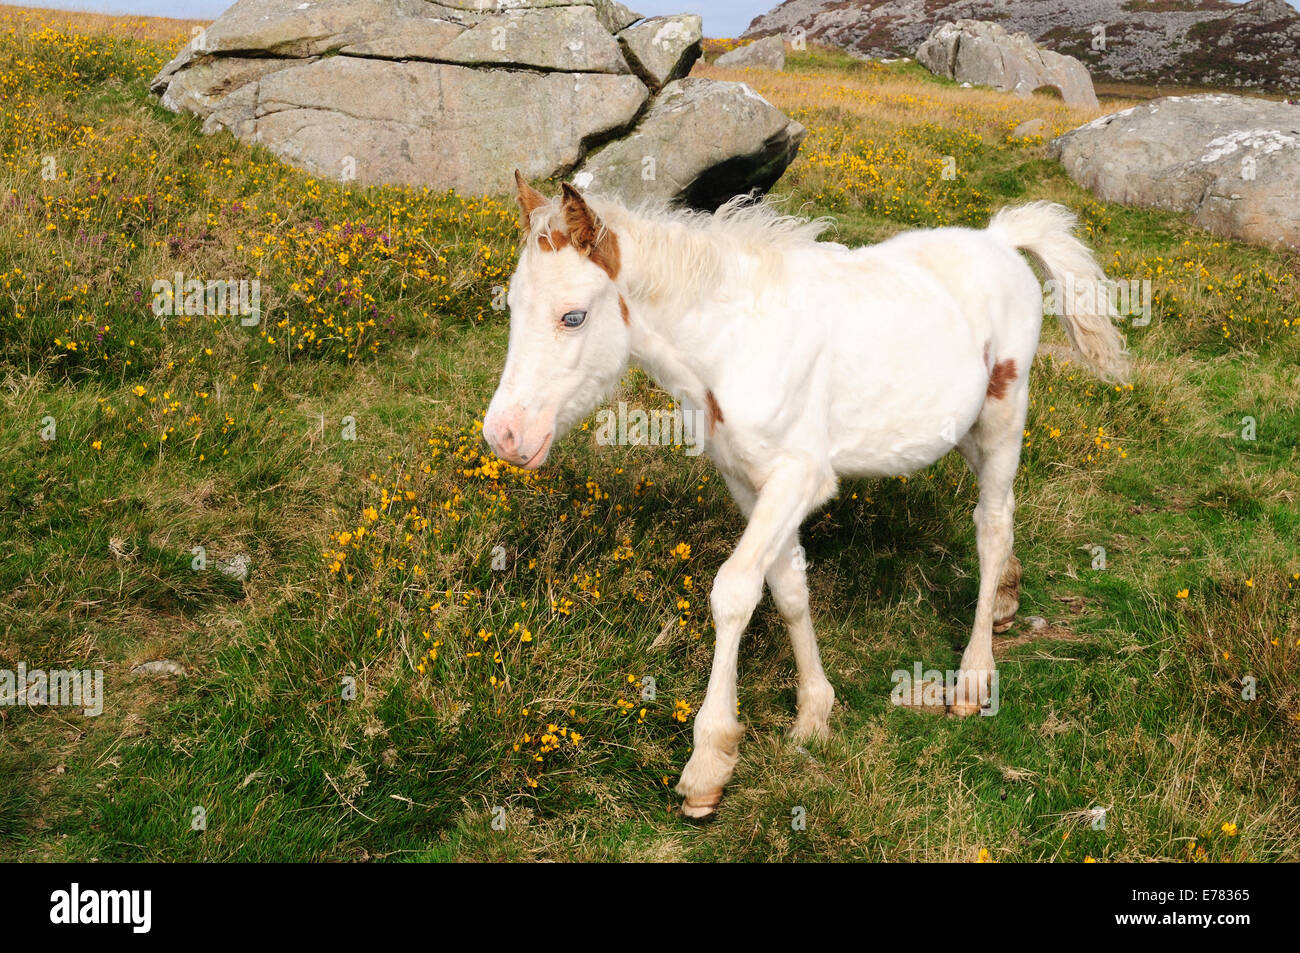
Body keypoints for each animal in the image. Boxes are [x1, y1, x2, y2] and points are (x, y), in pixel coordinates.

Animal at [484, 172, 1129, 819]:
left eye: (572, 317)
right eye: (512, 307)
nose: (505, 436)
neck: (733, 345)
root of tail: (1000, 239)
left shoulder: (800, 476)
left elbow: (735, 590)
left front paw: (709, 763)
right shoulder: (748, 480)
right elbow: (788, 585)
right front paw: (814, 714)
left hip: (1002, 416)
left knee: (992, 524)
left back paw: (973, 677)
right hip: (962, 427)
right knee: (1005, 517)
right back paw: (1005, 600)